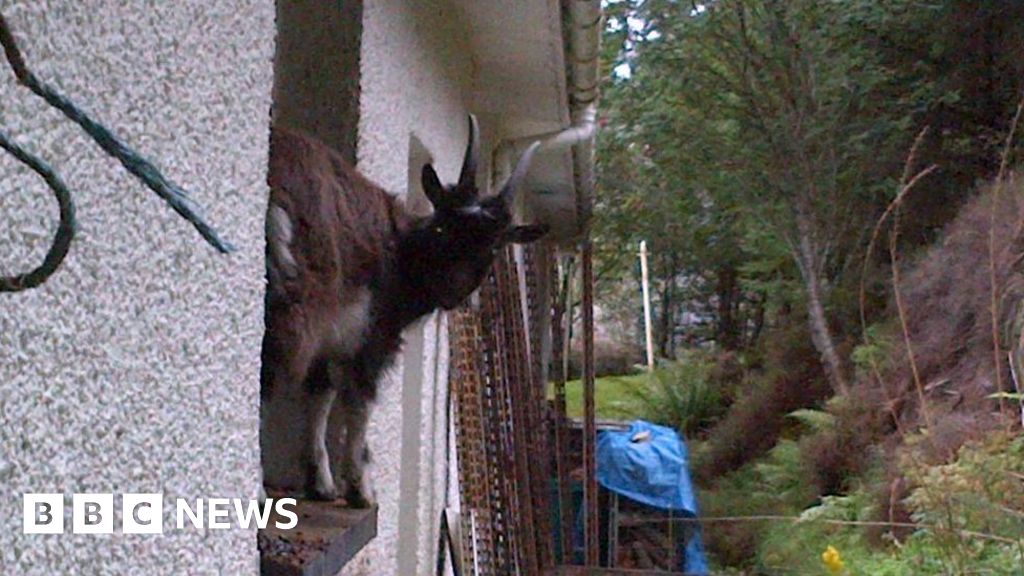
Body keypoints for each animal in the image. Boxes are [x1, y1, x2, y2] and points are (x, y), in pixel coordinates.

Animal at [260, 116, 546, 506]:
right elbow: (360, 401)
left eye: (492, 247)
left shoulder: (332, 337)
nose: (451, 293)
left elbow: (320, 395)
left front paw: (321, 483)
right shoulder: (371, 336)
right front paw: (361, 491)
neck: (398, 253)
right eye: (442, 226)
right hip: (293, 302)